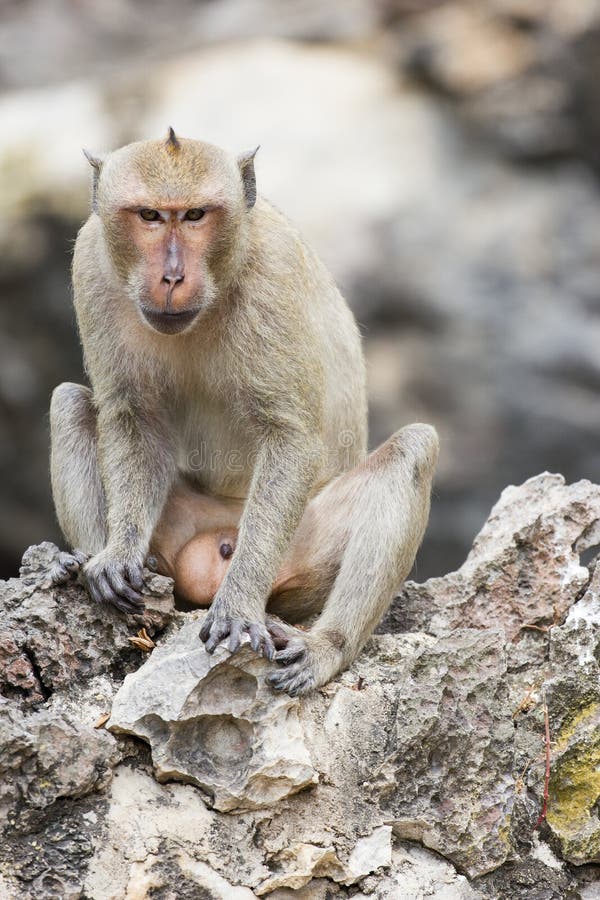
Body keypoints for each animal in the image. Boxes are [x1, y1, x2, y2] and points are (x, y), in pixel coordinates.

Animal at [49, 128, 439, 696]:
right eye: (149, 215)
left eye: (195, 215)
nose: (172, 276)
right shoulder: (91, 265)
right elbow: (132, 418)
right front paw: (116, 557)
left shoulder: (273, 271)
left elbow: (290, 435)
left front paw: (238, 606)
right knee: (71, 403)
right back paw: (80, 564)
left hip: (305, 552)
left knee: (412, 451)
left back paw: (326, 647)